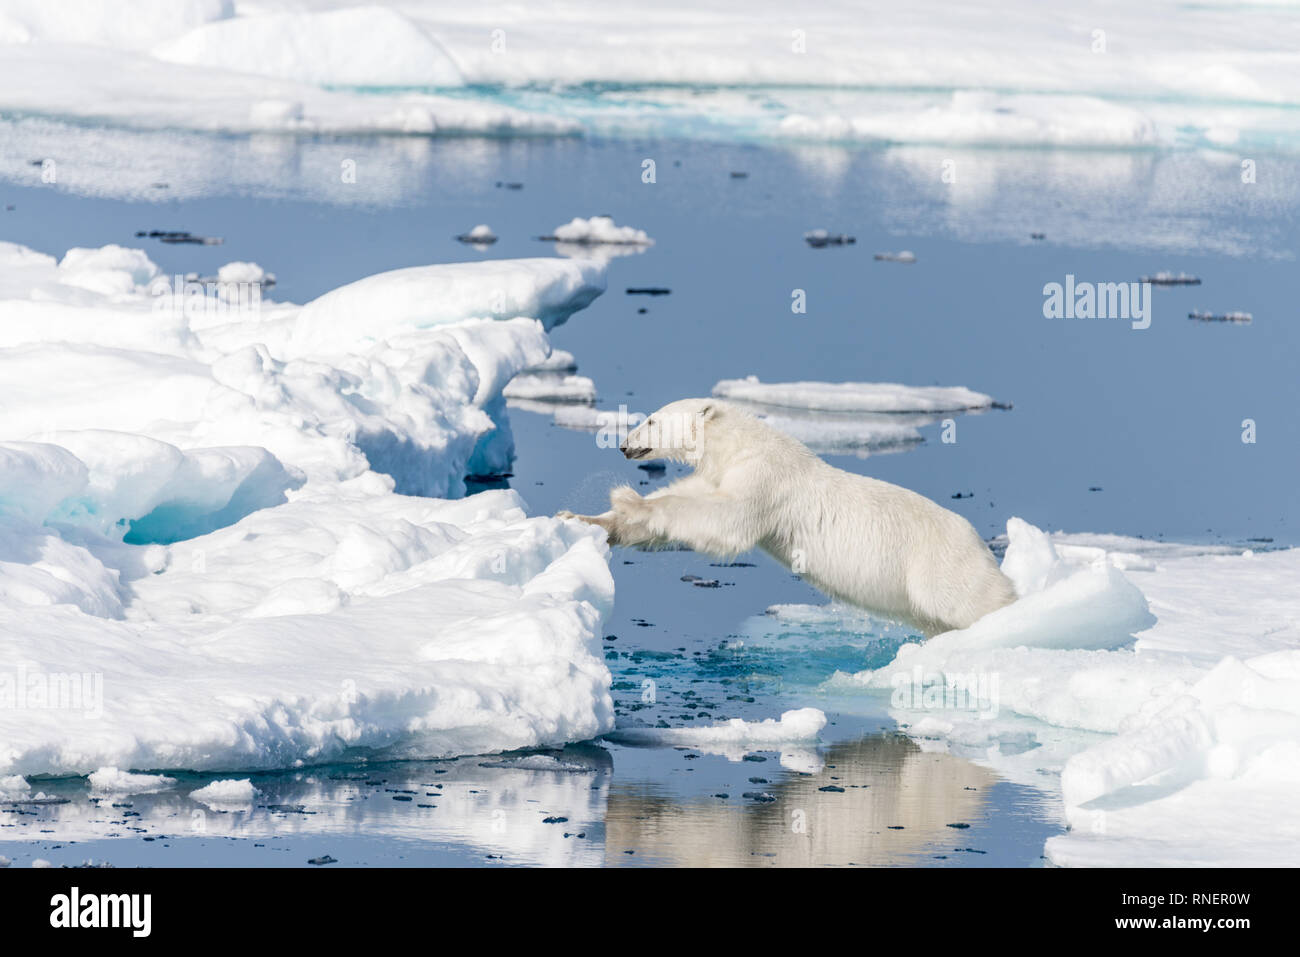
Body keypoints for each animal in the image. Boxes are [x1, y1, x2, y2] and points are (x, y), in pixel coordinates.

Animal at [558, 397, 1017, 637]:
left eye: (651, 419)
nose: (624, 445)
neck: (739, 445)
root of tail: (980, 544)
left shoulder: (765, 479)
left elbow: (726, 521)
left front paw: (630, 500)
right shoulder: (722, 473)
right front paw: (586, 519)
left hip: (941, 567)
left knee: (974, 601)